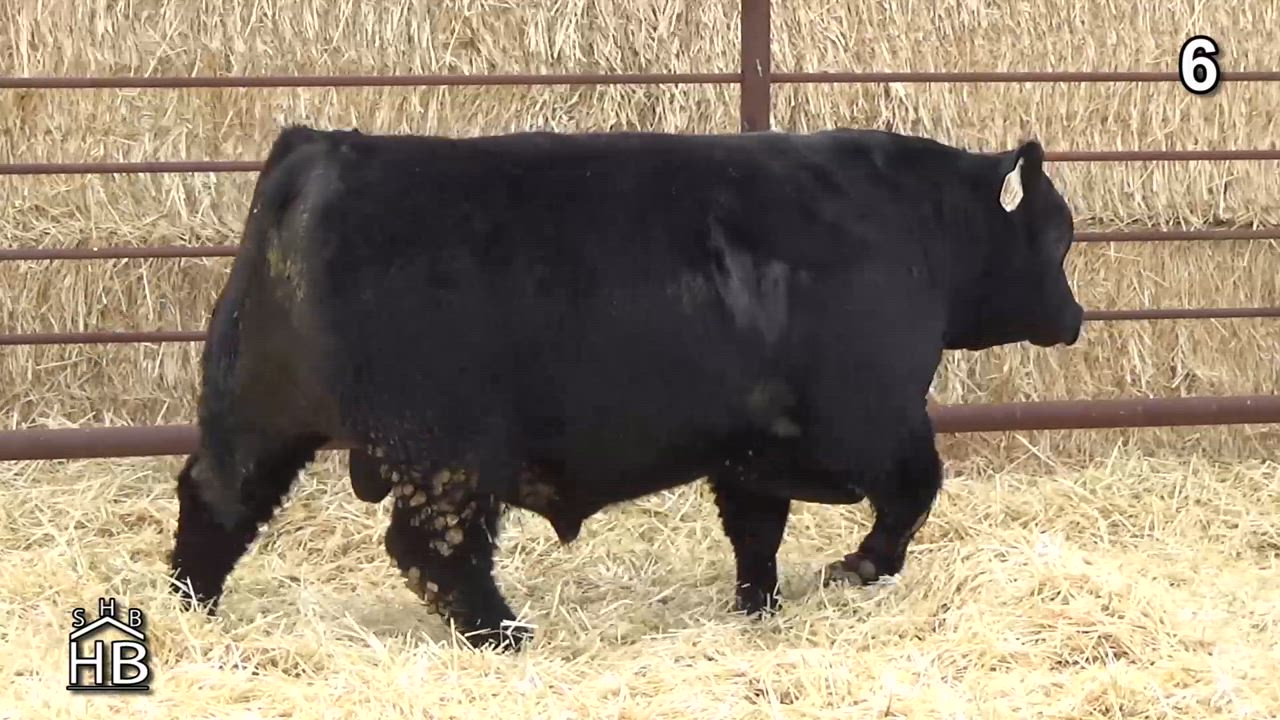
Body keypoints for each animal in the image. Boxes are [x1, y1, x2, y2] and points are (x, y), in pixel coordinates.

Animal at [167, 124, 1084, 652]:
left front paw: (758, 607)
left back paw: (190, 607)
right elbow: (913, 496)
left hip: (258, 418)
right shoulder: (877, 416)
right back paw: (507, 635)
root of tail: (324, 148)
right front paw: (855, 568)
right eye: (1056, 237)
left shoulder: (752, 448)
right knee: (431, 551)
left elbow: (757, 533)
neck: (918, 225)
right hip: (445, 457)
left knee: (216, 501)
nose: (1076, 318)